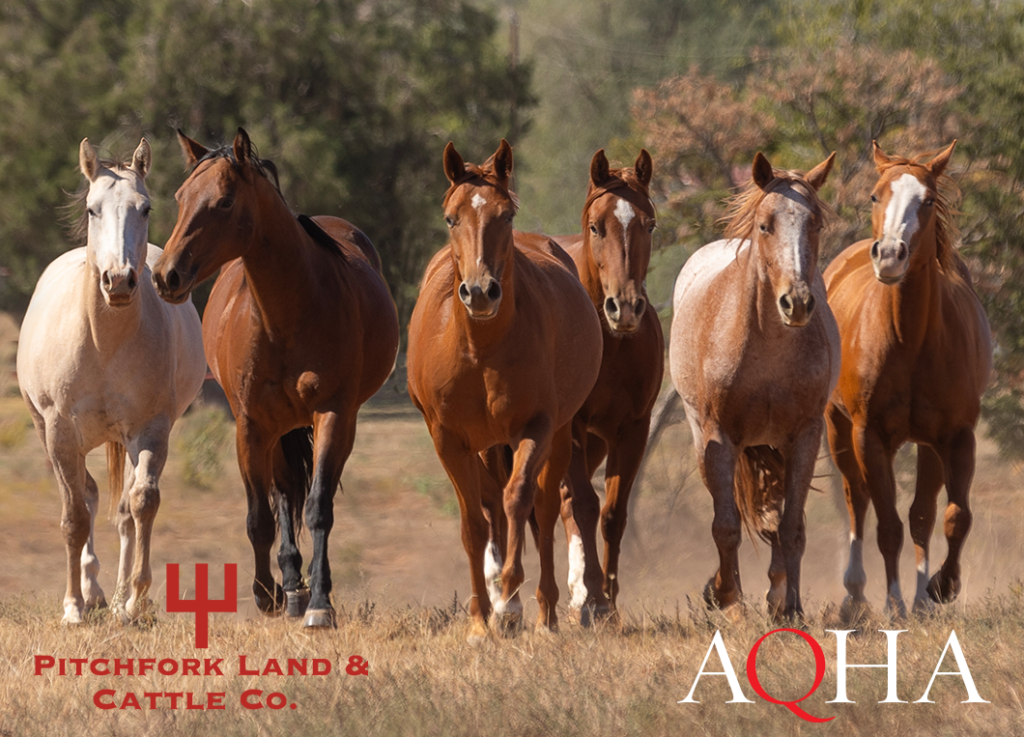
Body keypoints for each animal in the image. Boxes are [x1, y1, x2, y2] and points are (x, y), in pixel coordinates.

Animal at [17, 137, 206, 624]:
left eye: (145, 207)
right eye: (91, 209)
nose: (119, 281)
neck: (102, 342)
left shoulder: (151, 429)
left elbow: (142, 503)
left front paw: (136, 599)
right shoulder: (60, 432)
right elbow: (74, 516)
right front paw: (73, 606)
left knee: (122, 509)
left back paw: (117, 597)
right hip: (56, 434)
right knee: (86, 496)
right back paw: (92, 591)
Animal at [151, 128, 399, 629]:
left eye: (225, 201)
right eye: (180, 196)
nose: (166, 275)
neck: (287, 313)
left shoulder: (333, 415)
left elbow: (319, 507)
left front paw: (321, 603)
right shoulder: (251, 426)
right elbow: (259, 517)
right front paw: (266, 594)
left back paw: (305, 592)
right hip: (279, 429)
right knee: (283, 496)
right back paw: (289, 587)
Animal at [407, 139, 603, 641]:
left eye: (506, 215)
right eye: (451, 218)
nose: (480, 292)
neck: (480, 350)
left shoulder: (535, 427)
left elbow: (520, 500)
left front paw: (512, 596)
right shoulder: (448, 440)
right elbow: (474, 524)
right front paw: (481, 619)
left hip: (558, 435)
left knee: (546, 508)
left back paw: (545, 611)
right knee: (494, 506)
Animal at [669, 151, 839, 619]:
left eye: (815, 223)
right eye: (766, 224)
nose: (796, 302)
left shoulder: (804, 436)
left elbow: (791, 526)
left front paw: (788, 606)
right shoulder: (719, 438)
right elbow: (725, 526)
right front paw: (729, 601)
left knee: (775, 520)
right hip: (702, 438)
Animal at [824, 141, 992, 617]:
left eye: (929, 200)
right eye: (875, 195)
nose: (889, 255)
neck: (911, 339)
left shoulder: (955, 437)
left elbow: (951, 517)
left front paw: (937, 589)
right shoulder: (869, 436)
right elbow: (888, 525)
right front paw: (895, 603)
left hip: (926, 444)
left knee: (922, 514)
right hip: (837, 429)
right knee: (856, 500)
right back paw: (856, 594)